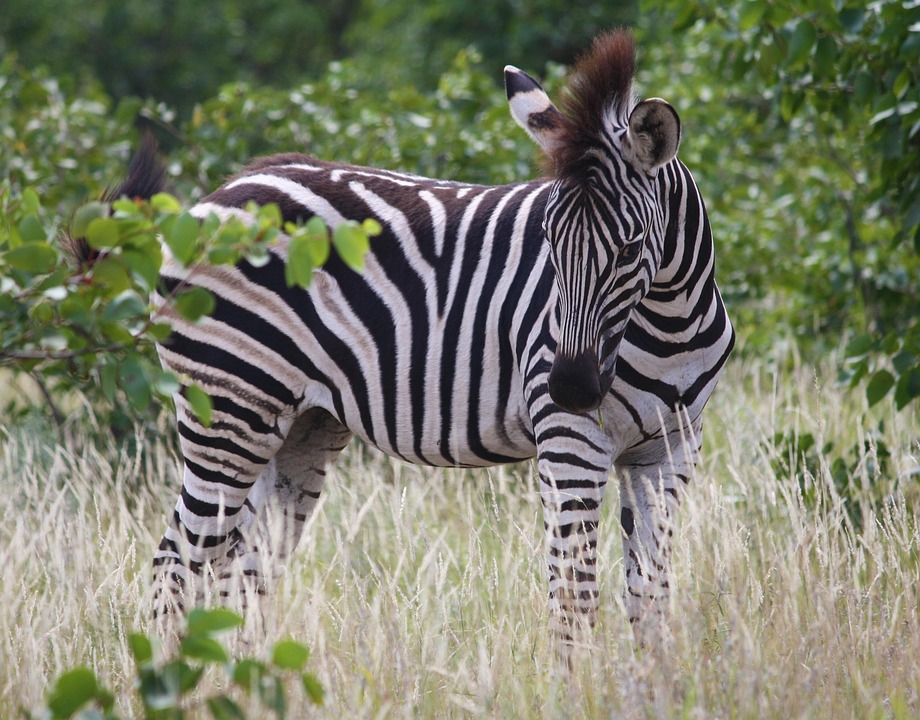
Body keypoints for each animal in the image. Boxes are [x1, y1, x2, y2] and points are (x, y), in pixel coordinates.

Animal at [103, 29, 733, 655]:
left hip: (295, 427)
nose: (573, 388)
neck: (667, 322)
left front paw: (651, 678)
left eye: (630, 247)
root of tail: (217, 194)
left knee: (241, 571)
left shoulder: (669, 450)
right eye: (549, 239)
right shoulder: (570, 442)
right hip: (228, 408)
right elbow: (574, 600)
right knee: (176, 562)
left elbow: (649, 599)